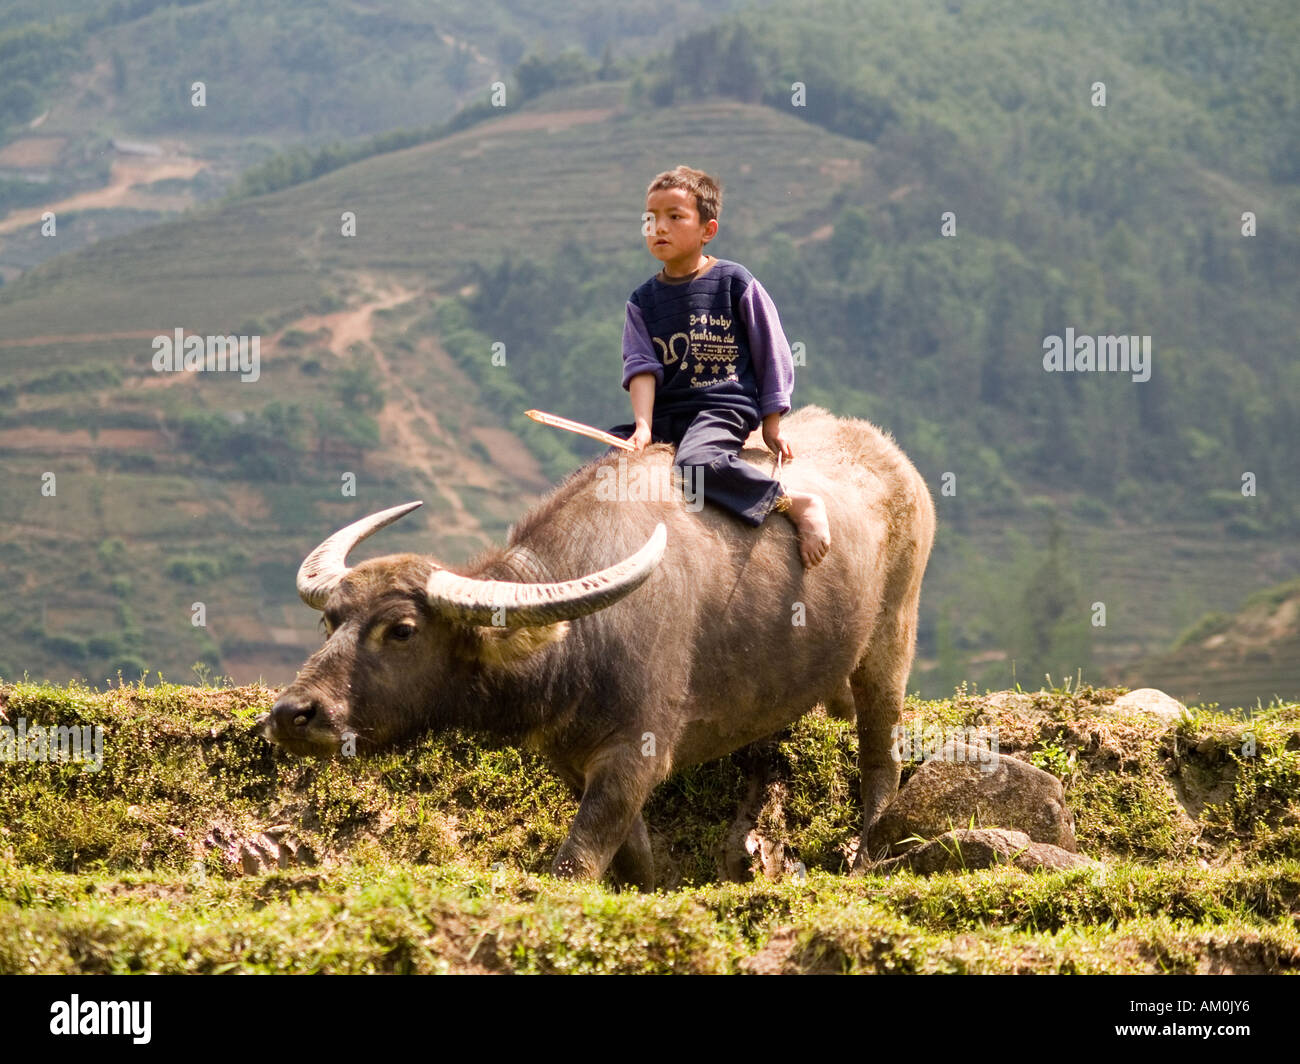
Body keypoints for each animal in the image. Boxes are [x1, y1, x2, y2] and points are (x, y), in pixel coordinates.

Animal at [262, 406, 935, 889]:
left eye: (402, 630)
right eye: (330, 621)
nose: (293, 714)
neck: (577, 644)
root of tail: (895, 460)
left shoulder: (637, 754)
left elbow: (576, 862)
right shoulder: (575, 763)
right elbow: (631, 857)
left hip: (890, 639)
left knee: (882, 752)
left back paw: (867, 855)